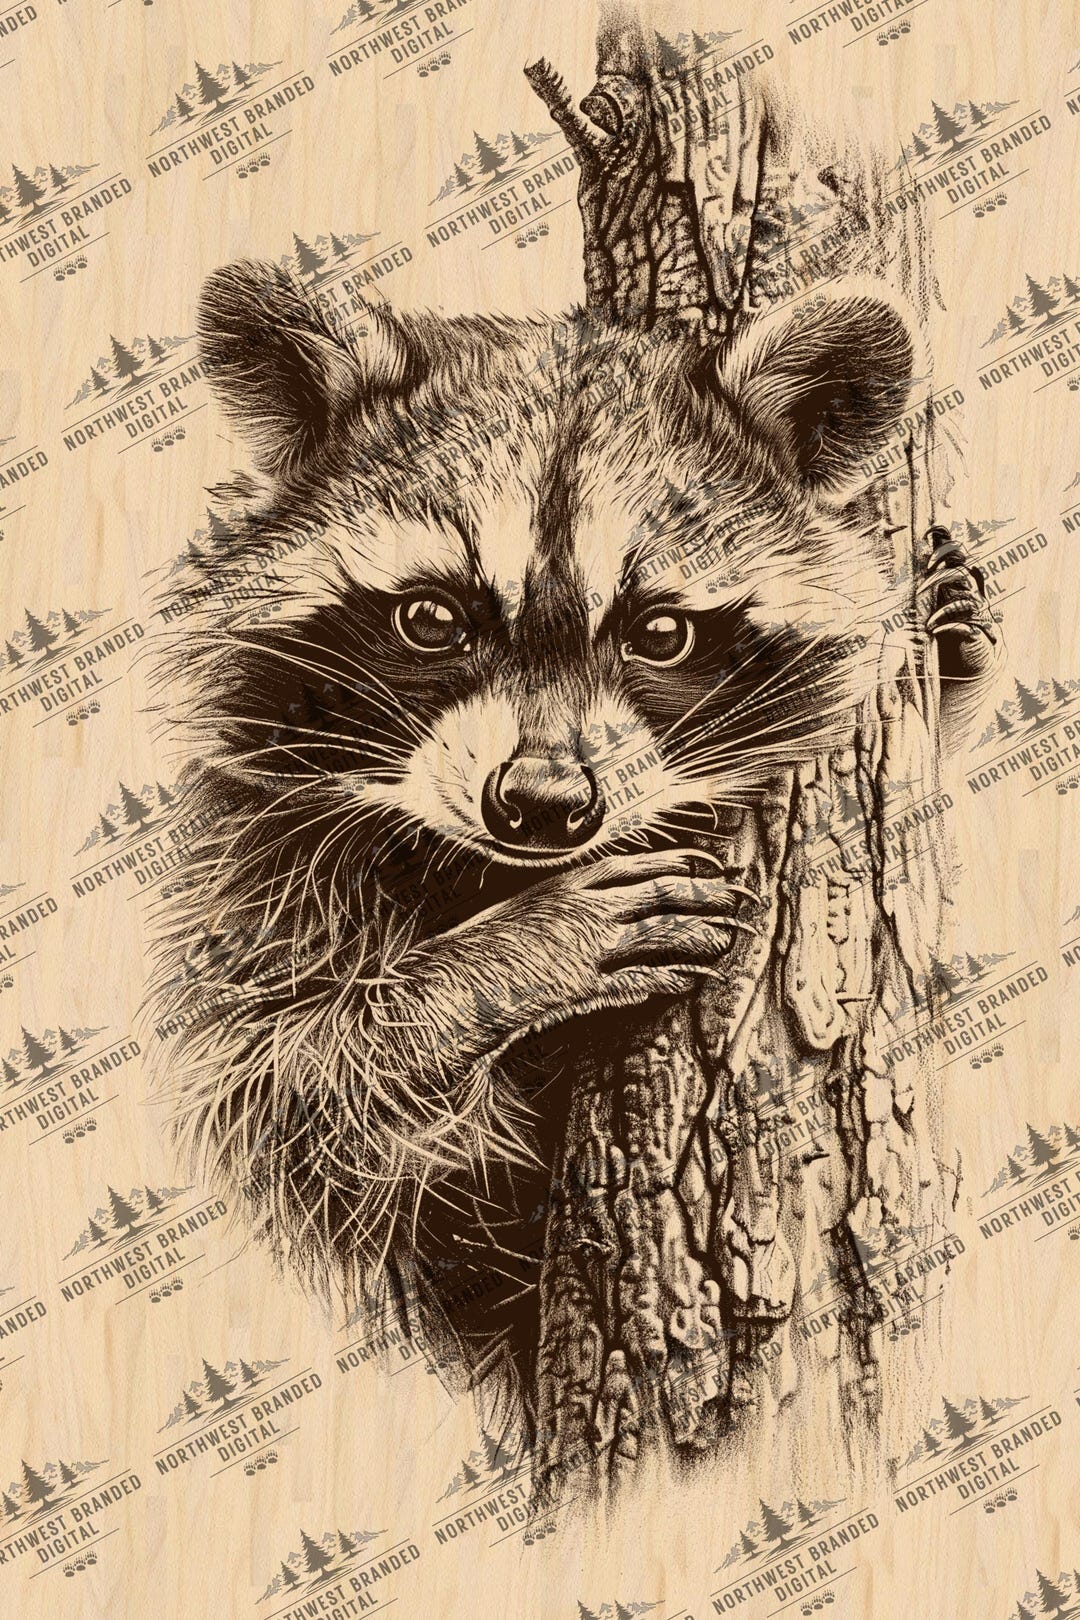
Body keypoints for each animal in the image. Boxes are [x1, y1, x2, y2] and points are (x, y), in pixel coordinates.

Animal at [151, 264, 995, 1405]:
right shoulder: (248, 867)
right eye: (432, 618)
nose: (544, 805)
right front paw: (510, 959)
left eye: (662, 633)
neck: (473, 864)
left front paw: (949, 676)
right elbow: (284, 1090)